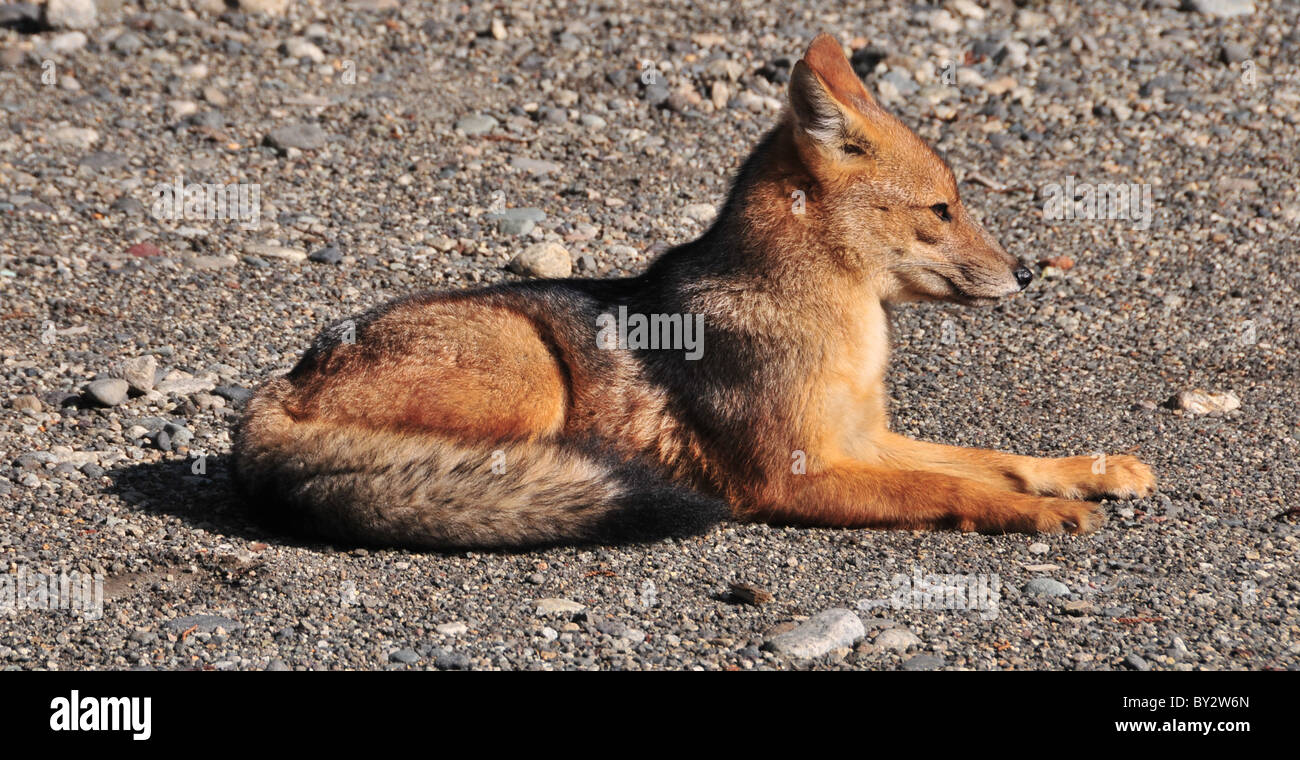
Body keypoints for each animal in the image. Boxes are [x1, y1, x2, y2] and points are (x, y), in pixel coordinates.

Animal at [233, 34, 1155, 550]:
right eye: (944, 210)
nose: (1028, 273)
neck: (843, 333)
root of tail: (276, 391)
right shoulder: (798, 476)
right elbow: (953, 488)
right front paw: (1029, 513)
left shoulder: (863, 439)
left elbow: (994, 457)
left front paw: (1089, 470)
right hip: (534, 380)